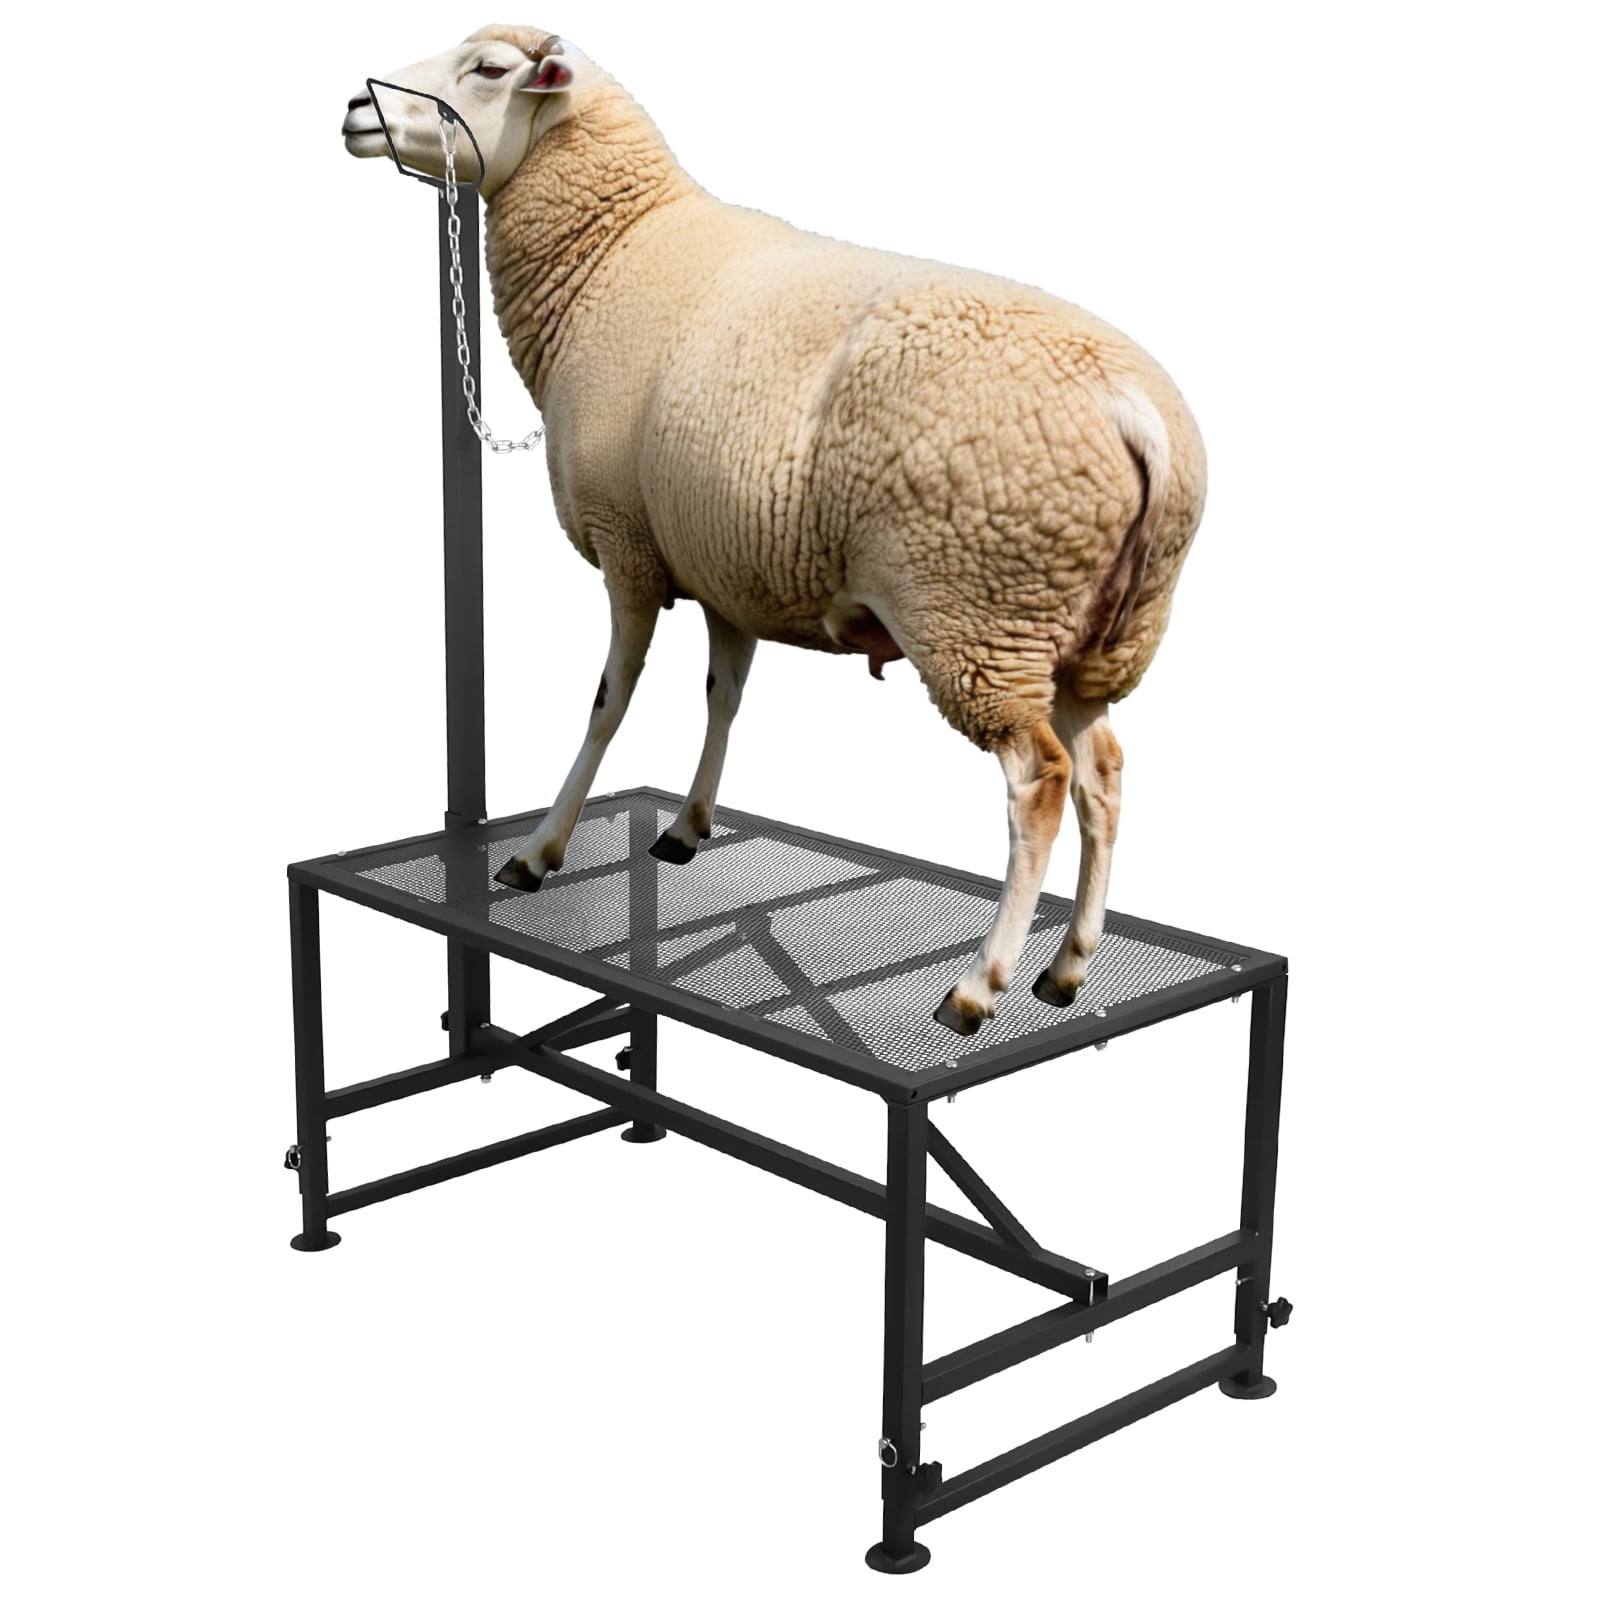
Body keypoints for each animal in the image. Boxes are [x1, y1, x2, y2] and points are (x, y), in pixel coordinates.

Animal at [340, 24, 1207, 1037]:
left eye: (486, 71)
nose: (354, 108)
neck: (611, 252)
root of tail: (1132, 407)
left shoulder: (629, 548)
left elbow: (608, 703)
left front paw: (538, 849)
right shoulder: (724, 568)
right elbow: (723, 696)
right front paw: (686, 827)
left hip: (979, 610)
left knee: (1041, 783)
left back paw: (979, 986)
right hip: (1078, 631)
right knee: (1105, 773)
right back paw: (1067, 967)